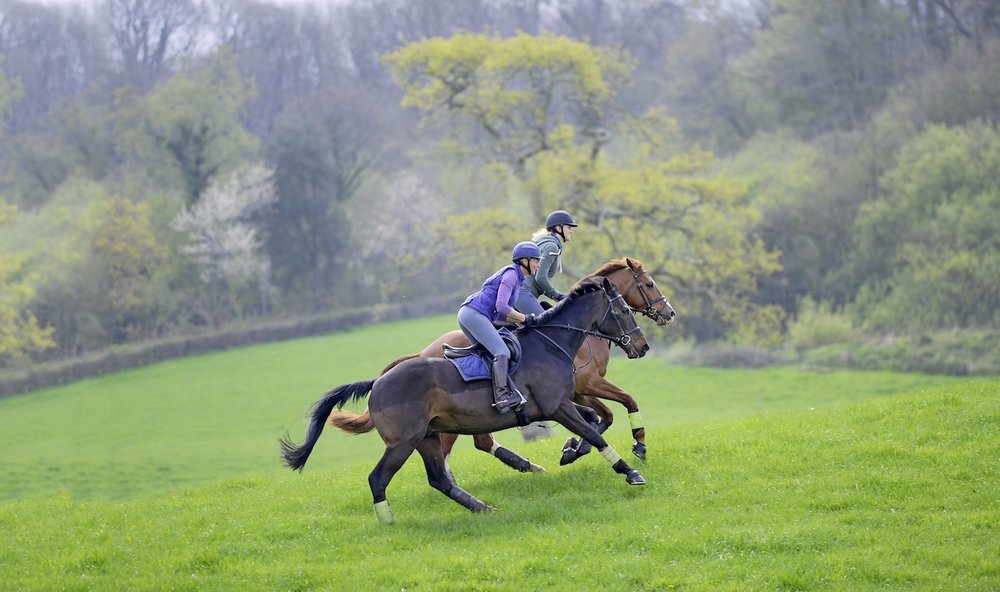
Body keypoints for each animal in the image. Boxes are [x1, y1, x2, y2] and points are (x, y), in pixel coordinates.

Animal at [280, 277, 649, 524]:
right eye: (624, 310)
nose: (642, 346)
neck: (551, 342)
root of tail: (379, 382)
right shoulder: (558, 406)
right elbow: (594, 433)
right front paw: (630, 472)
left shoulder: (558, 405)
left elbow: (592, 424)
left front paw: (571, 451)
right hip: (403, 442)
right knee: (378, 478)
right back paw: (389, 521)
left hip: (427, 437)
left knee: (439, 478)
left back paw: (482, 507)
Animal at [377, 258, 675, 474]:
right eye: (649, 284)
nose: (669, 313)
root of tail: (421, 353)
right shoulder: (587, 384)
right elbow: (626, 401)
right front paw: (638, 445)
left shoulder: (575, 393)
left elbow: (604, 417)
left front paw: (572, 449)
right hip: (453, 419)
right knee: (452, 448)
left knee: (479, 442)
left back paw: (528, 467)